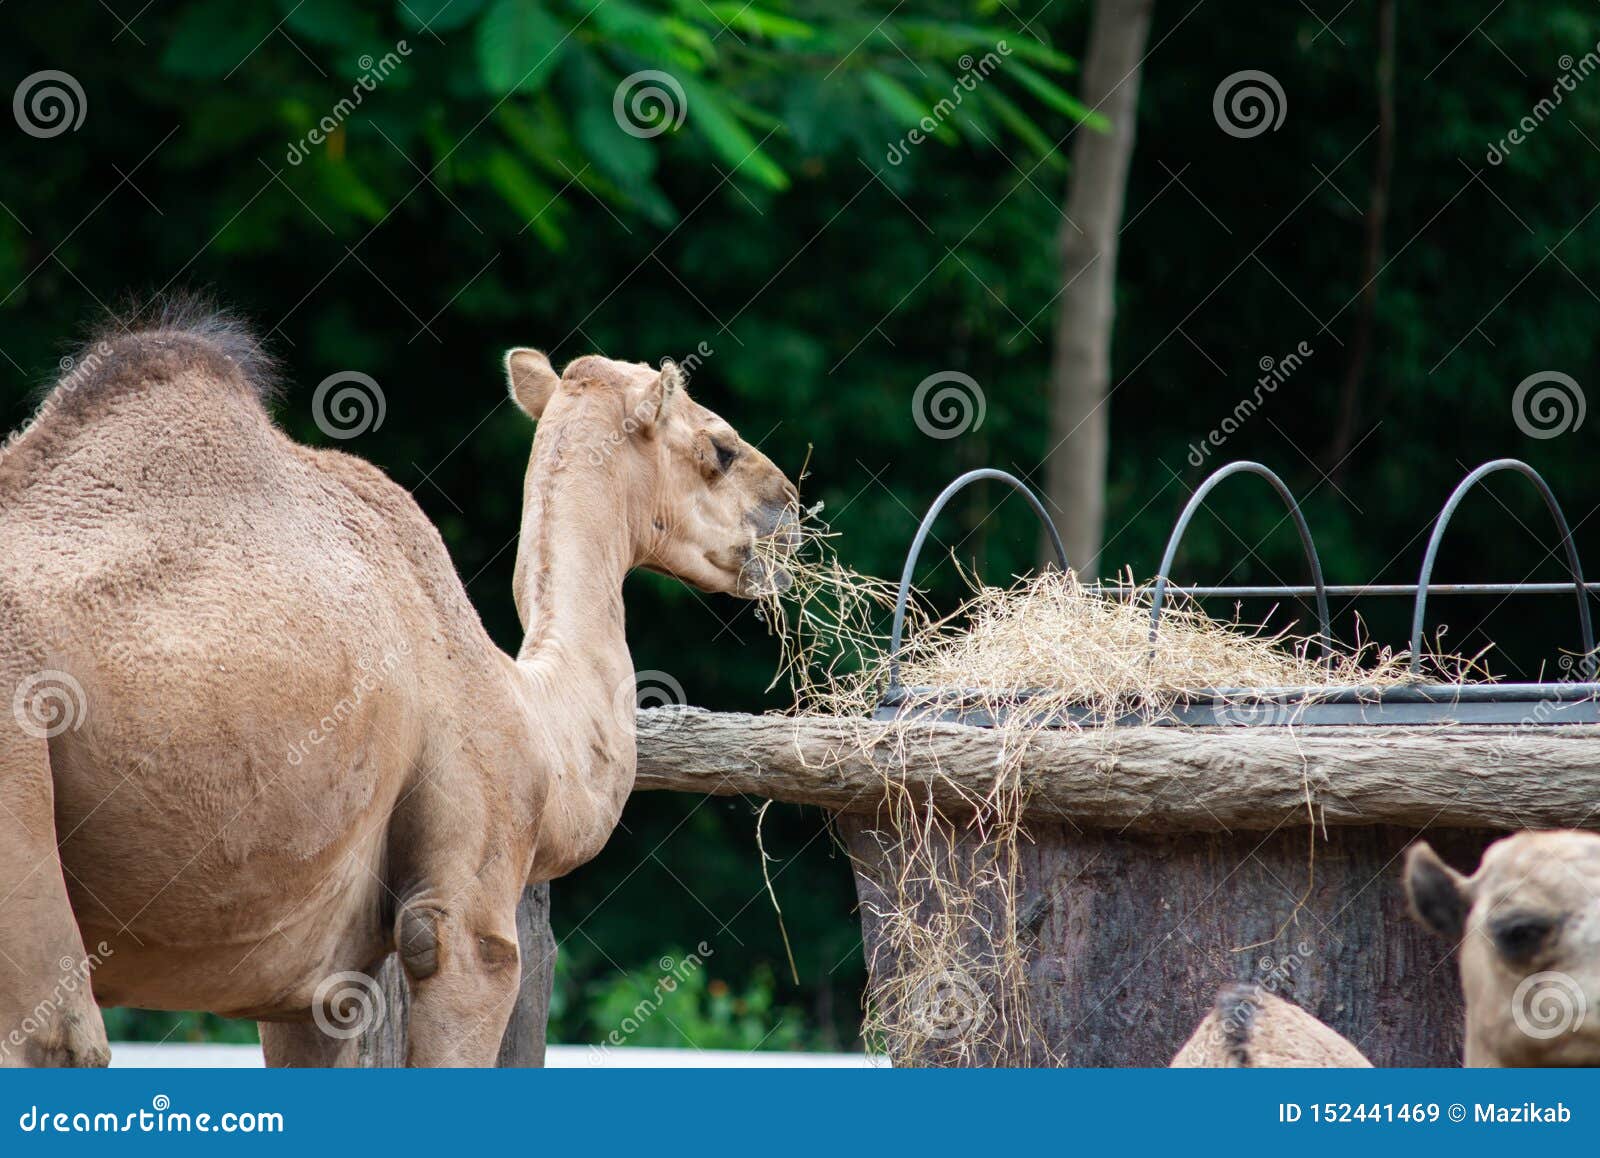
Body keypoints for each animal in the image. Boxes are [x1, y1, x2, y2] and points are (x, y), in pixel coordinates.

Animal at [0, 302, 797, 1066]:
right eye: (719, 449)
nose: (792, 504)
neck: (535, 717)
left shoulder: (309, 980)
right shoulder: (466, 917)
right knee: (59, 1034)